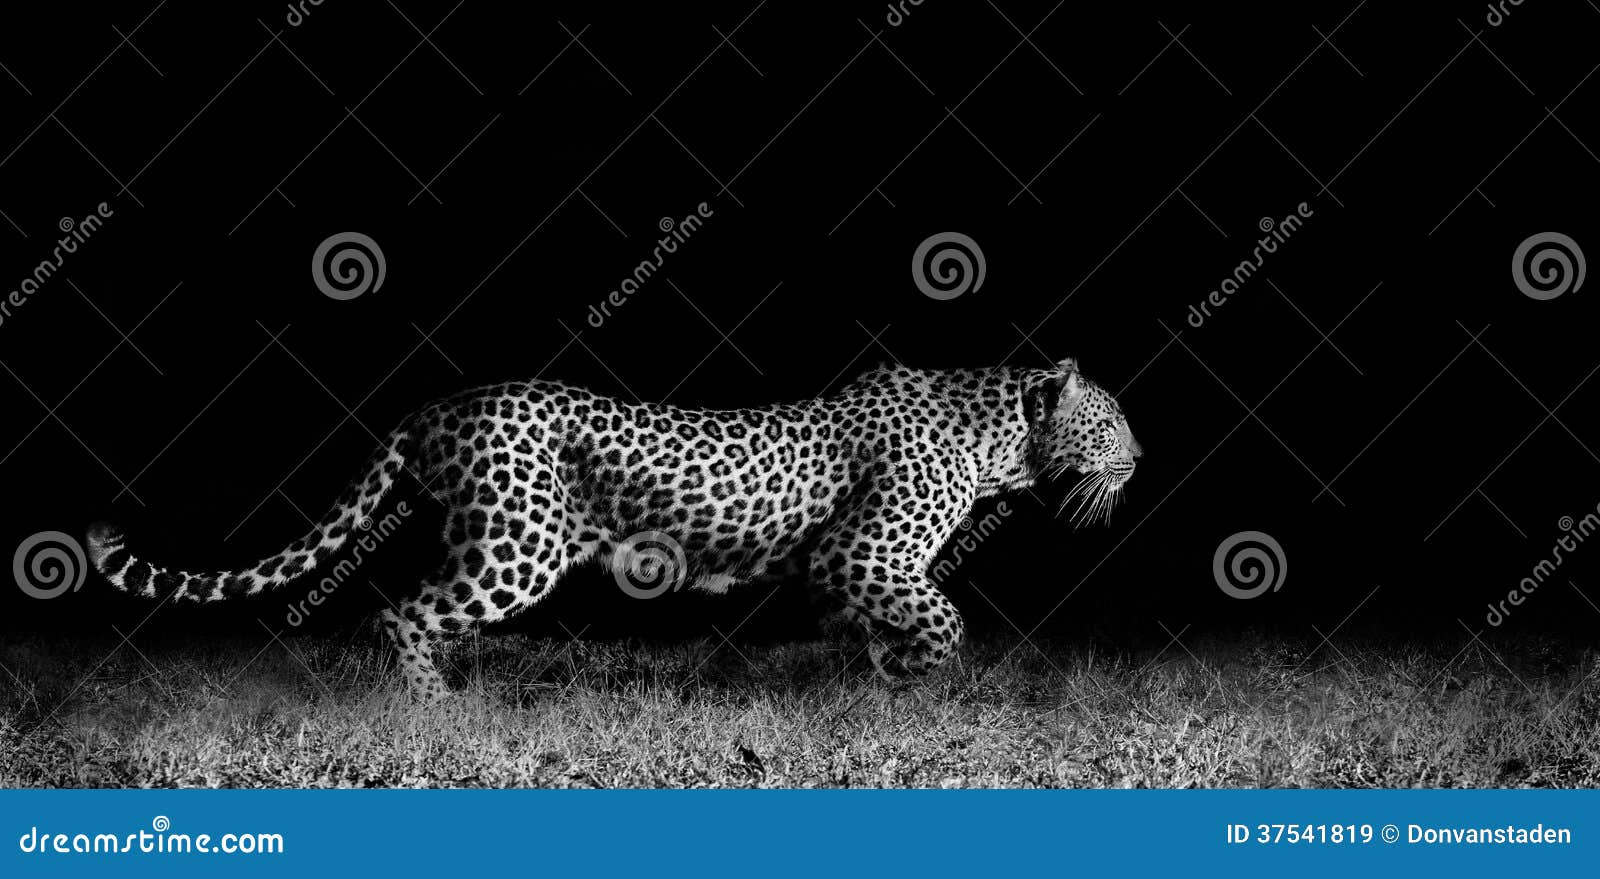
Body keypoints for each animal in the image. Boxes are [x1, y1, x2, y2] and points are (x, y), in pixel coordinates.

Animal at [86, 357, 1140, 701]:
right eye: (1115, 419)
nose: (1144, 454)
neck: (1001, 440)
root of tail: (432, 408)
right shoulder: (862, 552)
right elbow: (944, 618)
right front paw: (916, 674)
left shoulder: (836, 570)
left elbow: (872, 627)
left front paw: (878, 679)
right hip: (518, 544)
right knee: (399, 611)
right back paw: (435, 705)